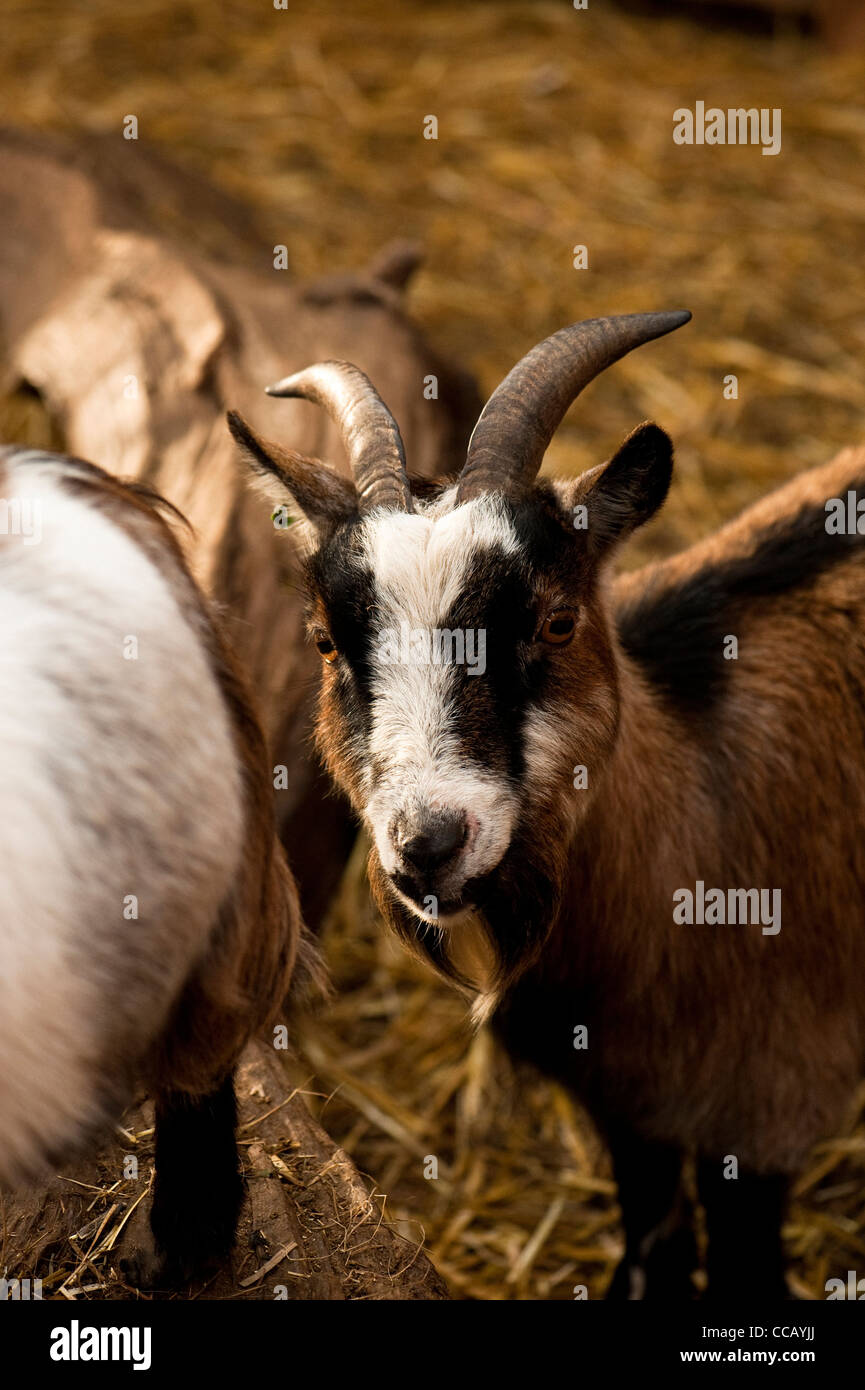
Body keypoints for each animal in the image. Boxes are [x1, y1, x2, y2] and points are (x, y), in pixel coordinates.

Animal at [229, 312, 865, 1299]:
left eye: (556, 623)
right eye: (327, 641)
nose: (428, 843)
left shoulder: (774, 1104)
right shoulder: (627, 1104)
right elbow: (650, 1239)